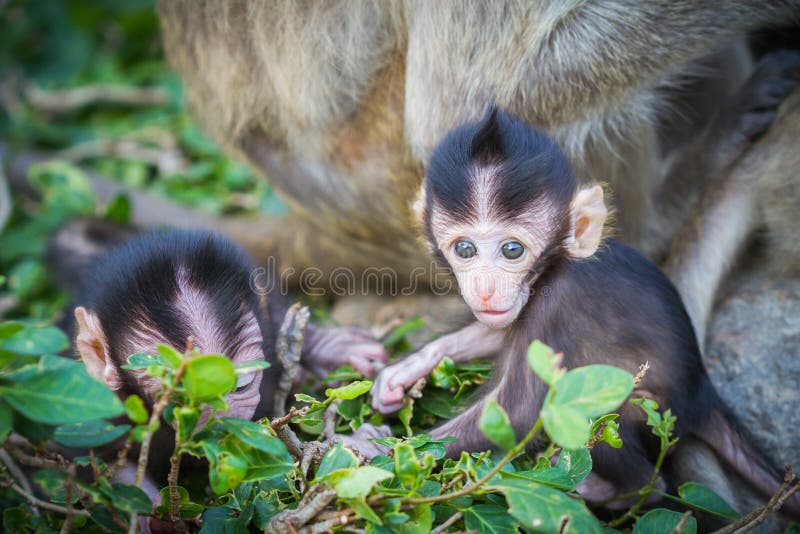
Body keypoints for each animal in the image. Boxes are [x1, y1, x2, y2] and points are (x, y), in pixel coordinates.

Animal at [367, 107, 800, 516]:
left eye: (512, 250)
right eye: (465, 249)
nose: (487, 289)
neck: (553, 267)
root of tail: (702, 391)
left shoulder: (556, 303)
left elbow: (516, 411)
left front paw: (371, 453)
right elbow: (495, 329)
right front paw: (403, 371)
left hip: (658, 415)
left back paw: (613, 489)